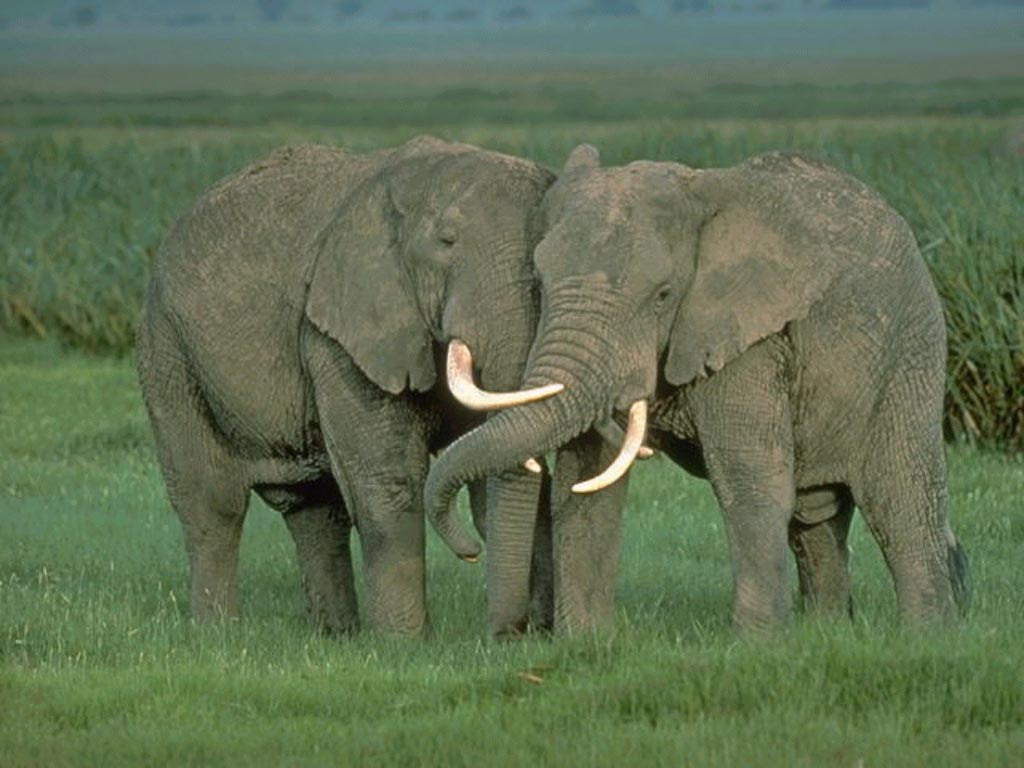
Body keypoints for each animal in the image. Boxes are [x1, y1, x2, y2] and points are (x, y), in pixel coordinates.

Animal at [137, 136, 563, 636]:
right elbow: (388, 481)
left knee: (315, 508)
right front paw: (404, 644)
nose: (513, 632)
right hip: (168, 349)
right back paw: (216, 633)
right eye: (446, 242)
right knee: (213, 502)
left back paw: (334, 635)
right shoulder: (336, 333)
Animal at [425, 145, 971, 633]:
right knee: (817, 514)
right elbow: (587, 483)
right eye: (539, 283)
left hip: (910, 347)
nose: (469, 552)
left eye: (663, 295)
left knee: (900, 499)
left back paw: (928, 637)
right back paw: (828, 633)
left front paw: (758, 646)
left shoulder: (746, 335)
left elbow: (749, 479)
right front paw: (585, 645)